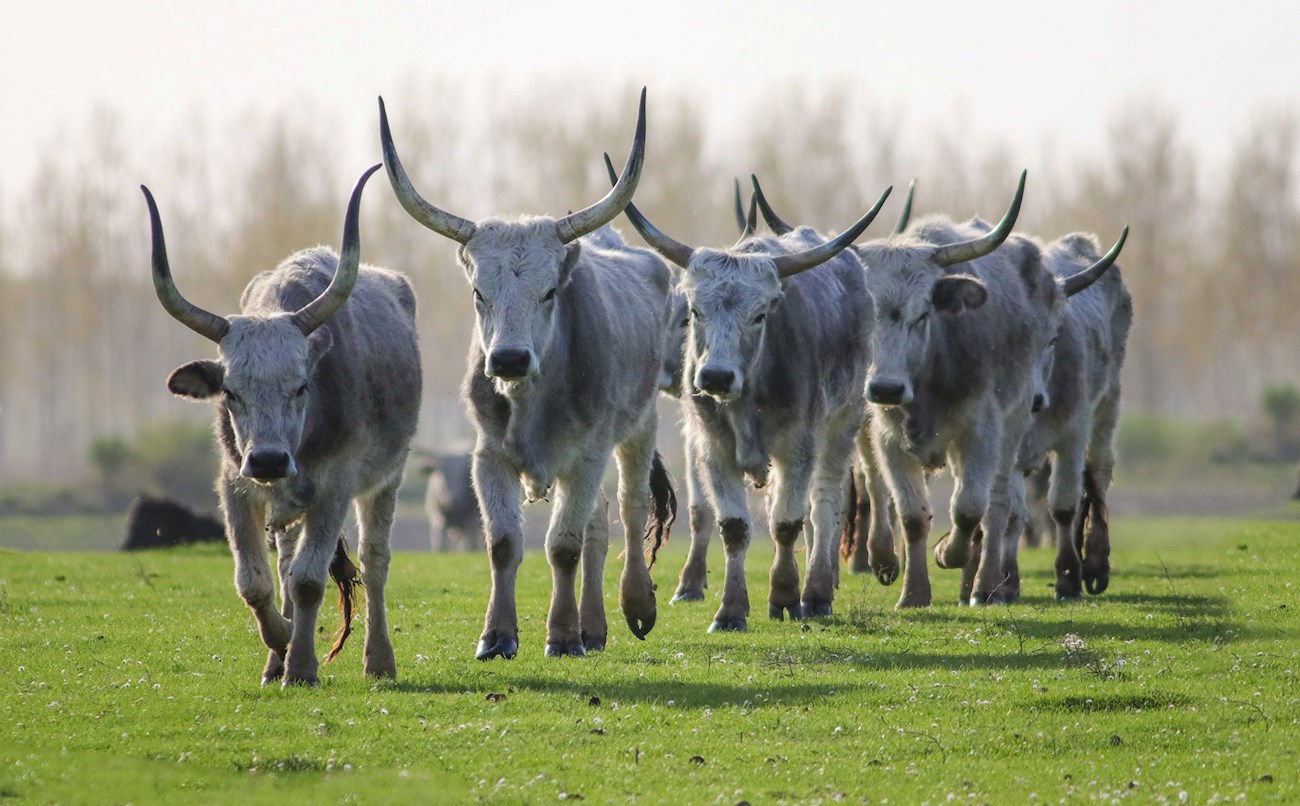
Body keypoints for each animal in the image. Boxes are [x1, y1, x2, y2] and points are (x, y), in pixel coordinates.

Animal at [143, 164, 421, 686]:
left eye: (301, 386)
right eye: (230, 392)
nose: (270, 459)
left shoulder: (335, 487)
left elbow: (309, 581)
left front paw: (303, 666)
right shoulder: (235, 485)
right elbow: (254, 581)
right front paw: (282, 643)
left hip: (385, 482)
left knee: (374, 562)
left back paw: (378, 659)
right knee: (287, 565)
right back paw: (278, 660)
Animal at [380, 89, 677, 660]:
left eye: (549, 291)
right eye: (479, 292)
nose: (509, 359)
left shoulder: (587, 455)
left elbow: (562, 545)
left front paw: (560, 637)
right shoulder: (488, 457)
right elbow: (504, 543)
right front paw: (498, 635)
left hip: (639, 426)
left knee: (629, 509)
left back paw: (635, 606)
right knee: (598, 526)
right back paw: (594, 628)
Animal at [605, 153, 891, 629]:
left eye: (760, 315)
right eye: (694, 310)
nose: (716, 377)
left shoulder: (798, 445)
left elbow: (788, 522)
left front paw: (785, 596)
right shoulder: (712, 447)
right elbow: (735, 527)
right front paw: (730, 610)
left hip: (842, 422)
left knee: (825, 503)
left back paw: (817, 590)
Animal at [1011, 231, 1132, 598]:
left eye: (1051, 338)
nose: (1033, 398)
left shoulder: (1072, 436)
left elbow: (1063, 507)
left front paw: (1067, 577)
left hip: (1106, 409)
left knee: (1097, 476)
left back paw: (1093, 563)